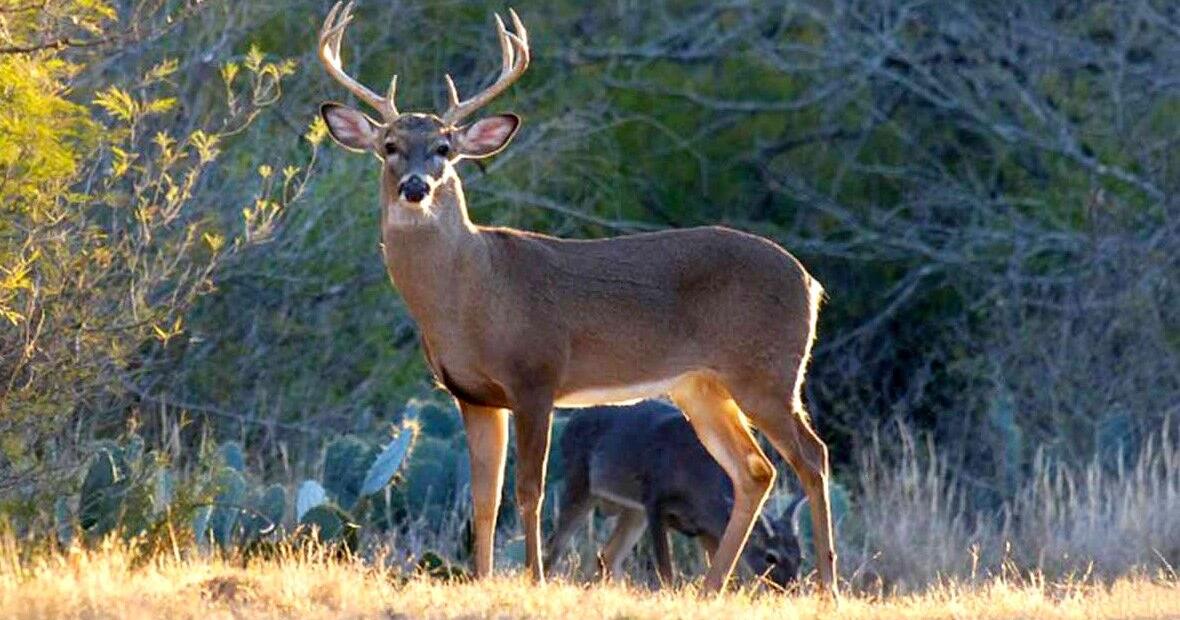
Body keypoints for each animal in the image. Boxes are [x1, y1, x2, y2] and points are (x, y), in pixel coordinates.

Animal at [547, 400, 807, 588]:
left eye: (800, 557)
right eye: (770, 557)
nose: (791, 588)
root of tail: (571, 422)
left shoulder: (704, 528)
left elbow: (725, 571)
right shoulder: (654, 499)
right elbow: (666, 569)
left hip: (633, 510)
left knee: (607, 555)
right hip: (580, 484)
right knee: (555, 544)